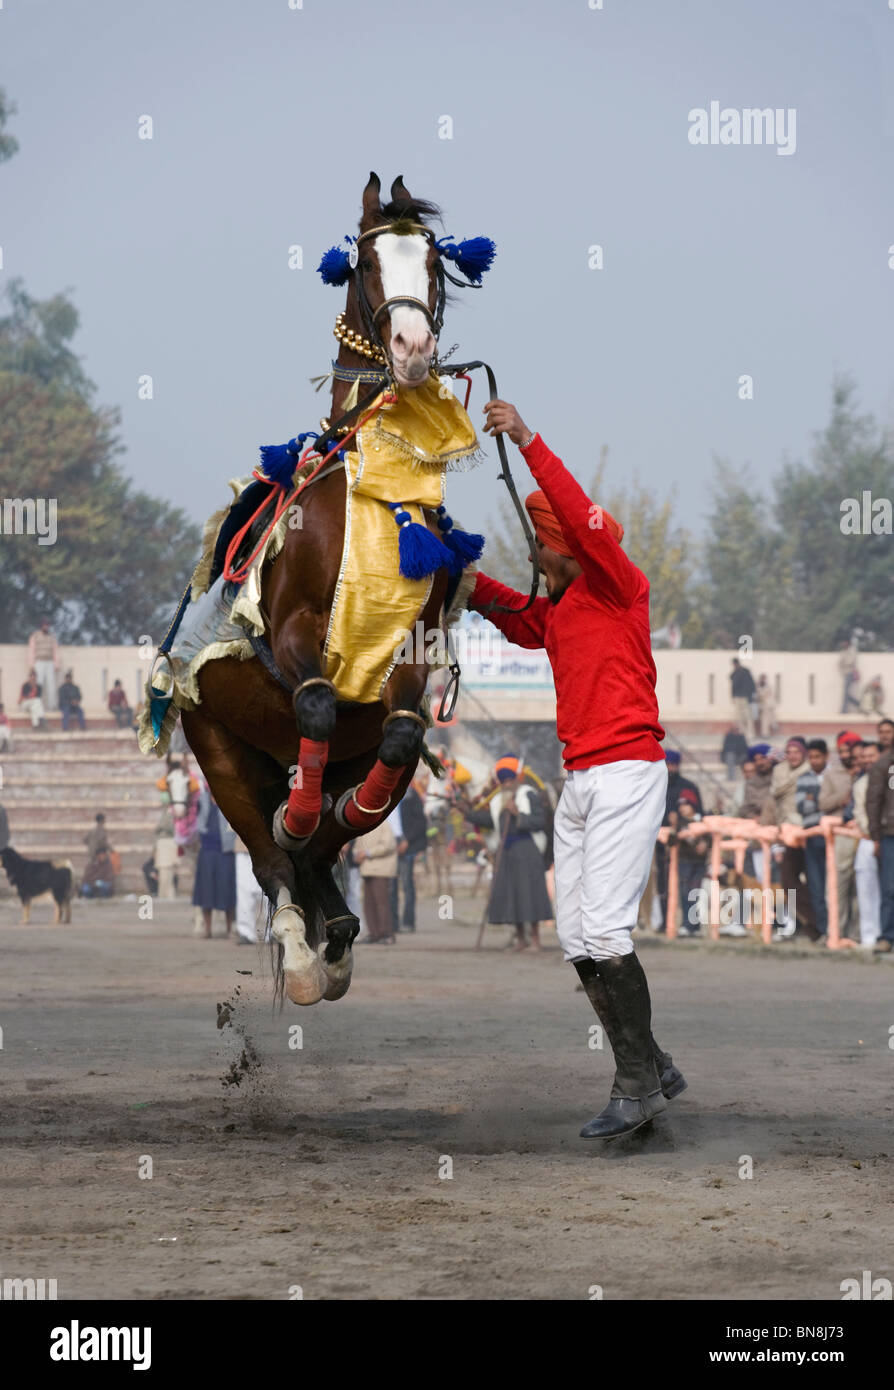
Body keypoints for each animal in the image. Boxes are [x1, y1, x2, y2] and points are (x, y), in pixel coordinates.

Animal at [178, 172, 490, 1008]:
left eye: (435, 265)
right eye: (368, 262)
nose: (411, 350)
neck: (372, 496)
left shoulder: (411, 648)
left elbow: (404, 732)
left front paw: (342, 816)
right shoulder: (292, 625)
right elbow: (316, 701)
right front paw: (300, 822)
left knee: (337, 823)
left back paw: (338, 918)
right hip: (217, 743)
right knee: (269, 858)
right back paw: (298, 933)